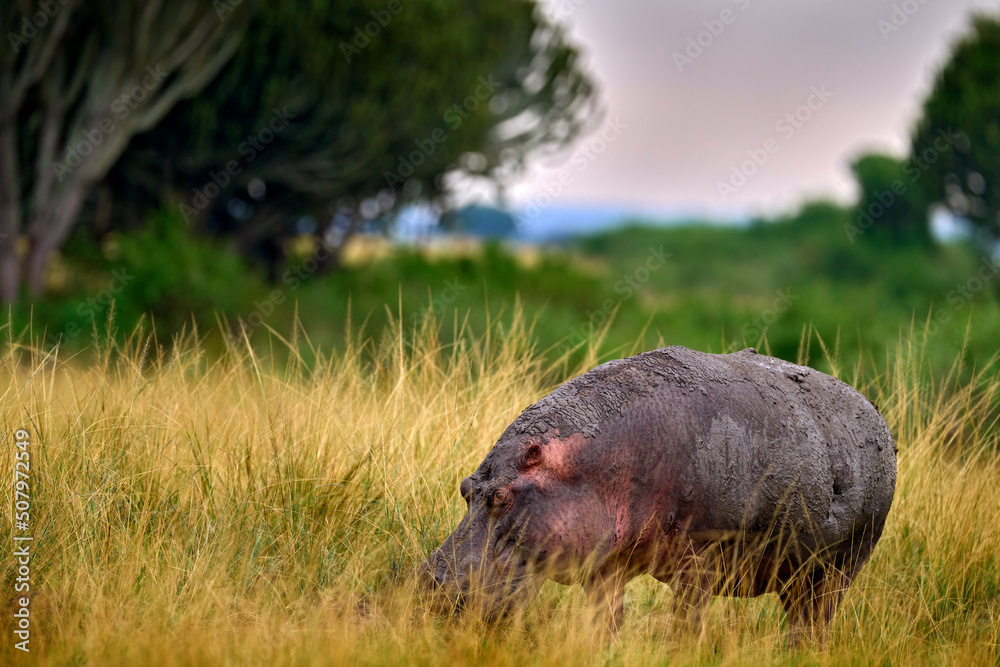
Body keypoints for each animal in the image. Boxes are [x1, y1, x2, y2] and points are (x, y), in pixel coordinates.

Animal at [420, 346, 896, 643]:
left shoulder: (701, 560)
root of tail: (875, 414)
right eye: (465, 488)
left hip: (841, 566)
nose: (431, 581)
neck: (590, 464)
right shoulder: (605, 566)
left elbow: (686, 625)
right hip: (798, 572)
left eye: (502, 497)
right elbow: (606, 623)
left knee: (814, 623)